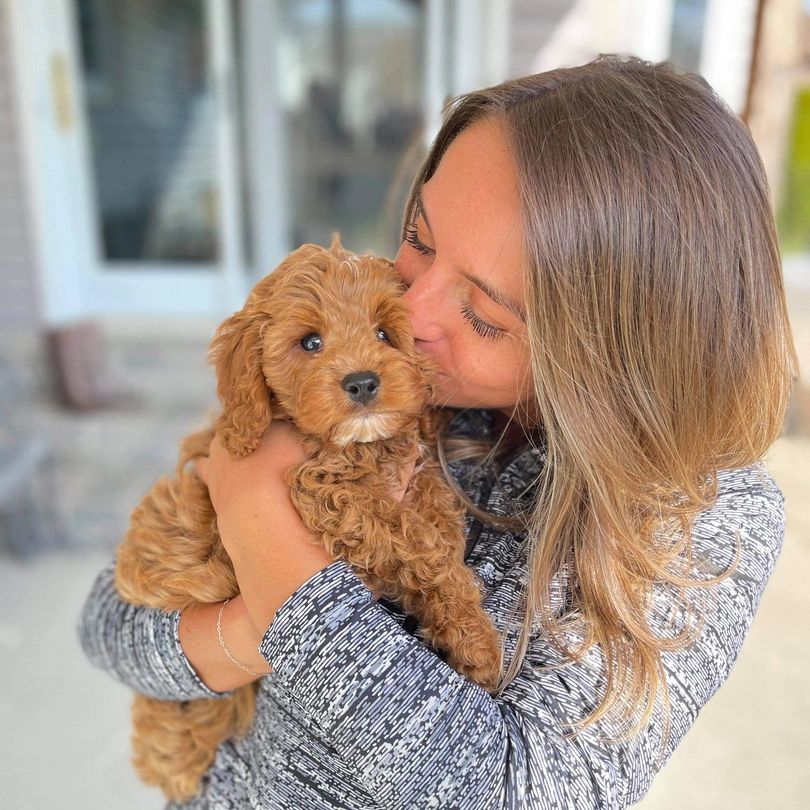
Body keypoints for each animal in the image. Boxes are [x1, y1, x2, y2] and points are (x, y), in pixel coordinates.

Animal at [113, 235, 503, 801]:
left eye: (385, 333)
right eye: (310, 342)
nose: (362, 383)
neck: (360, 447)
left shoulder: (406, 472)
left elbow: (432, 512)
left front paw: (469, 634)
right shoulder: (325, 490)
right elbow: (416, 541)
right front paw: (475, 634)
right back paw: (176, 757)